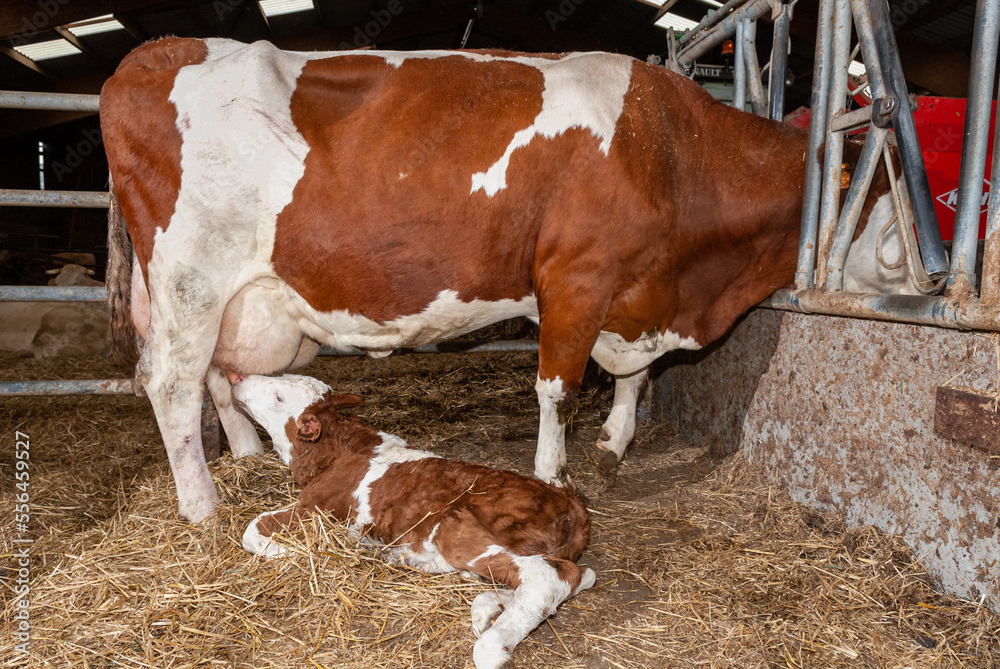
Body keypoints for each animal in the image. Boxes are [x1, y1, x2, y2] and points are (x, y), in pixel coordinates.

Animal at [101, 37, 920, 523]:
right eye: (894, 222)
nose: (929, 287)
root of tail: (159, 52)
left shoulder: (632, 293)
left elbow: (633, 377)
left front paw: (614, 445)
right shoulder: (576, 278)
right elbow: (559, 389)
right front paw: (555, 476)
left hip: (227, 298)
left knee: (217, 376)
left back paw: (242, 455)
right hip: (191, 277)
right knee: (172, 383)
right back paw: (202, 505)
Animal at [231, 373, 594, 669]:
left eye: (279, 396)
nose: (236, 377)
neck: (337, 449)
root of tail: (572, 503)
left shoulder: (316, 509)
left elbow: (252, 529)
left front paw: (296, 553)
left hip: (456, 528)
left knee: (551, 577)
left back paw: (493, 647)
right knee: (579, 575)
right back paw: (488, 607)